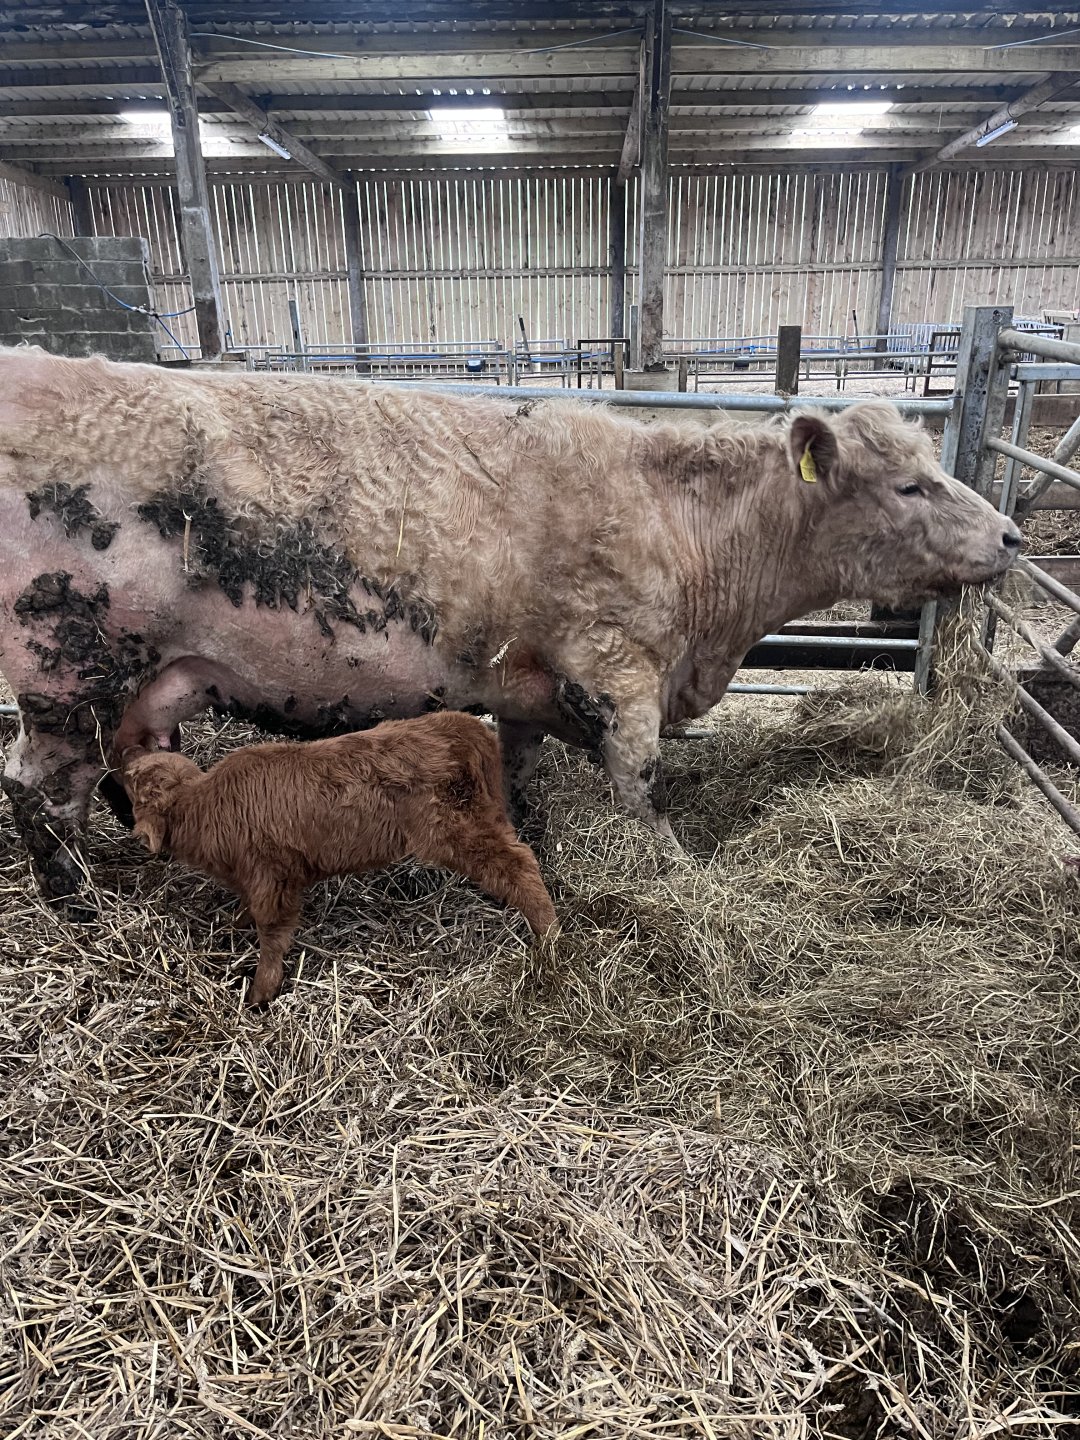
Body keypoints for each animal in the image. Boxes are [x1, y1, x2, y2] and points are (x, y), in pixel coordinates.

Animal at [0, 345, 1020, 912]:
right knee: (36, 787)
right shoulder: (620, 669)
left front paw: (531, 832)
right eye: (910, 485)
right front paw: (672, 868)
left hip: (137, 686)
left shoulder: (528, 683)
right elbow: (641, 786)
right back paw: (76, 900)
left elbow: (520, 767)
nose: (1011, 536)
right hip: (64, 672)